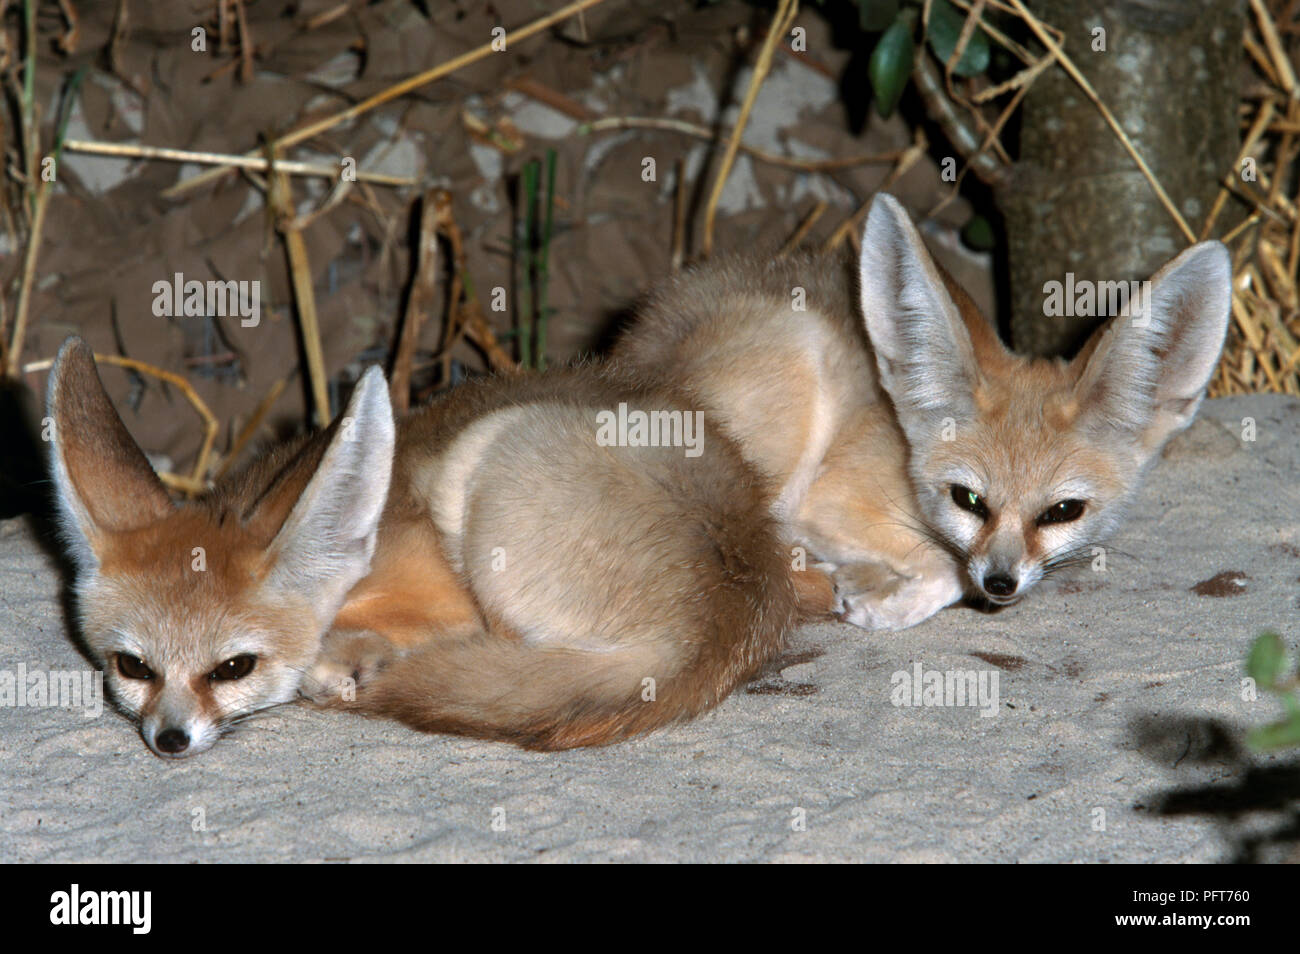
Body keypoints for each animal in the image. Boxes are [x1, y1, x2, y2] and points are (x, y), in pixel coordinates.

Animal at [47, 340, 833, 757]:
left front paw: (346, 662)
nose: (169, 739)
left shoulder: (442, 596)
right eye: (133, 667)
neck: (362, 559)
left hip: (486, 465)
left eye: (233, 668)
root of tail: (731, 603)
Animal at [613, 192, 1233, 630]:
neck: (901, 441)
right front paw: (886, 604)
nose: (1002, 582)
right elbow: (949, 569)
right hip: (800, 364)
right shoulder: (827, 501)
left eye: (1062, 512)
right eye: (969, 500)